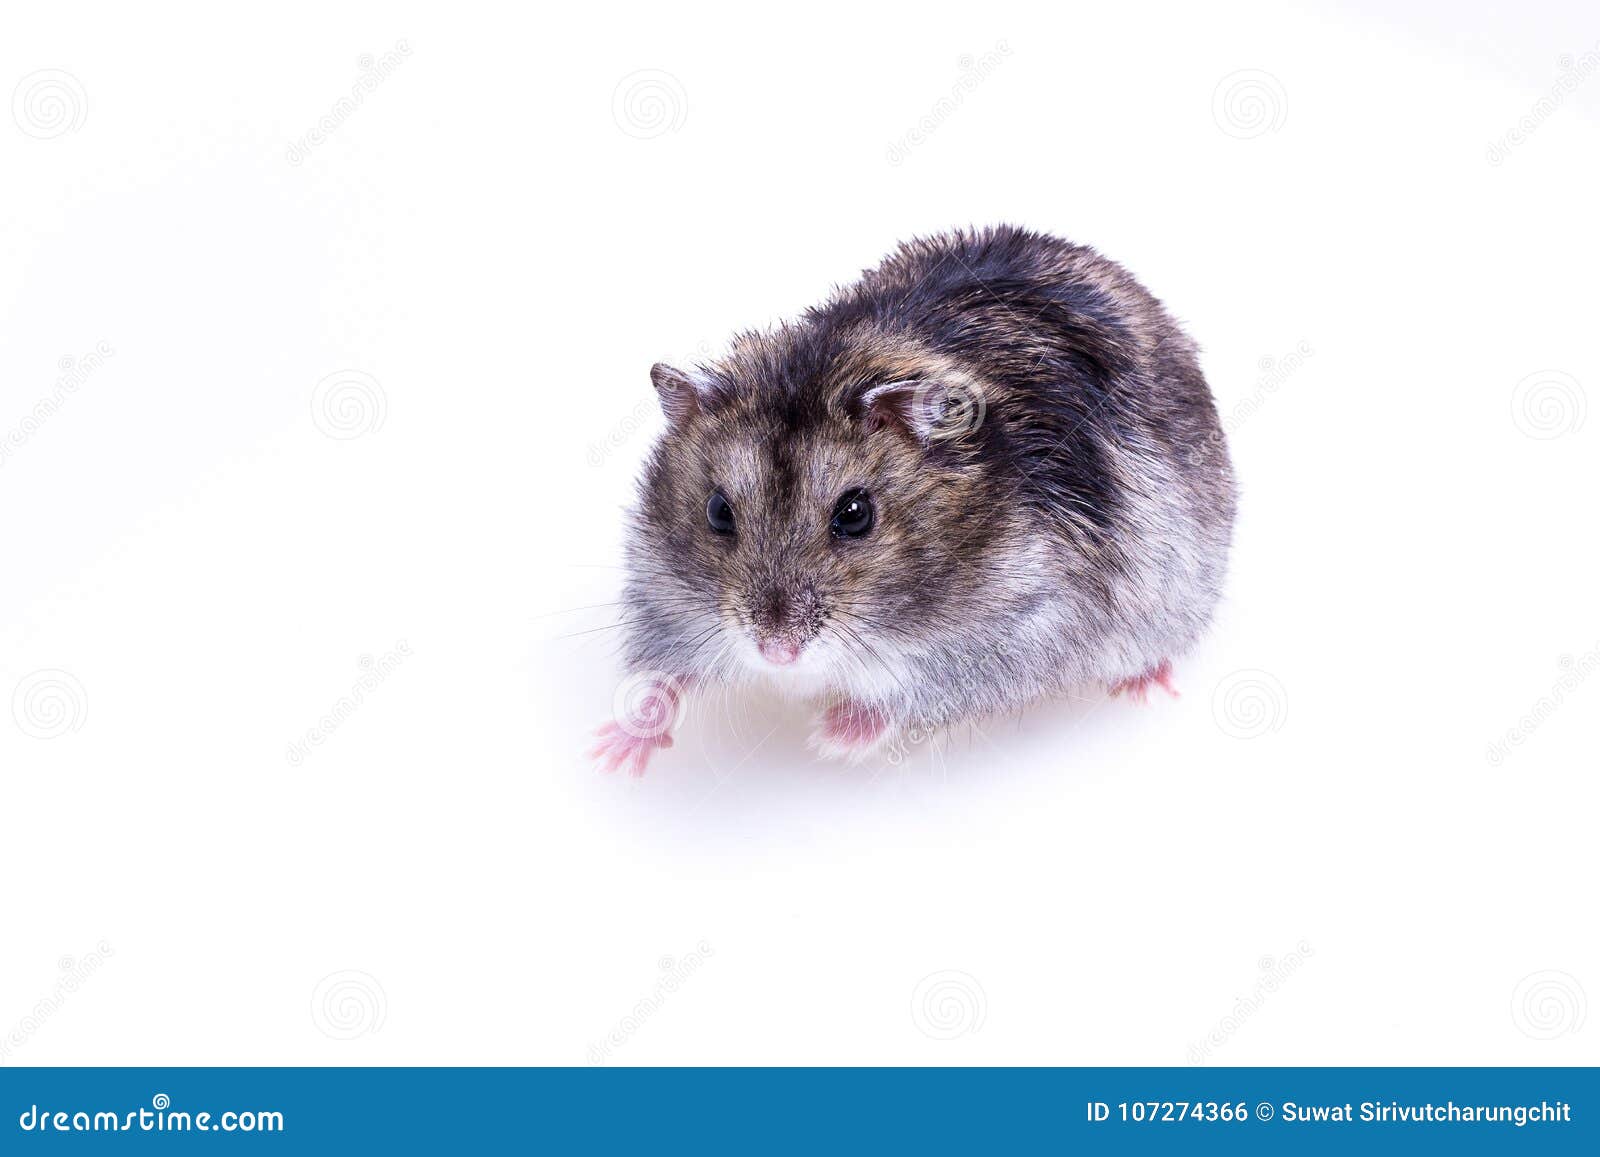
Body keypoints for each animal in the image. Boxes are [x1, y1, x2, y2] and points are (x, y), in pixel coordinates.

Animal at [591, 225, 1235, 774]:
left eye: (856, 516)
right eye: (718, 512)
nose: (776, 652)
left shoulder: (1018, 633)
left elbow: (908, 698)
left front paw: (829, 736)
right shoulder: (662, 592)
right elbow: (664, 675)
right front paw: (612, 752)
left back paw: (1145, 688)